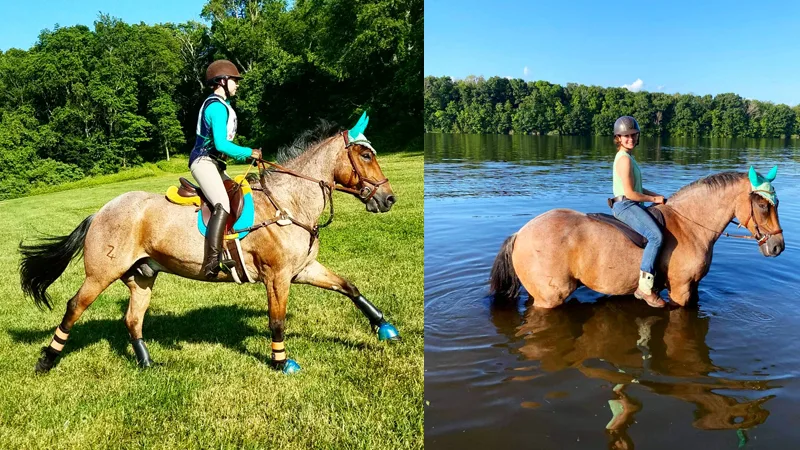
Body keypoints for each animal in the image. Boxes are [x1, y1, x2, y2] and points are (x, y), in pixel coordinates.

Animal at [19, 121, 399, 374]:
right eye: (366, 154)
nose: (388, 199)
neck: (288, 204)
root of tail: (100, 212)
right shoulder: (277, 277)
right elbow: (277, 321)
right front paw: (281, 362)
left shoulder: (303, 269)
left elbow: (350, 287)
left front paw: (384, 327)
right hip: (101, 274)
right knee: (74, 307)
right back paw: (46, 360)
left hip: (142, 276)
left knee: (133, 319)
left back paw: (148, 363)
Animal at [490, 168, 784, 308]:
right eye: (762, 205)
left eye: (776, 202)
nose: (778, 246)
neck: (690, 226)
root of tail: (520, 233)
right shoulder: (681, 290)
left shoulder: (694, 287)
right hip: (550, 298)